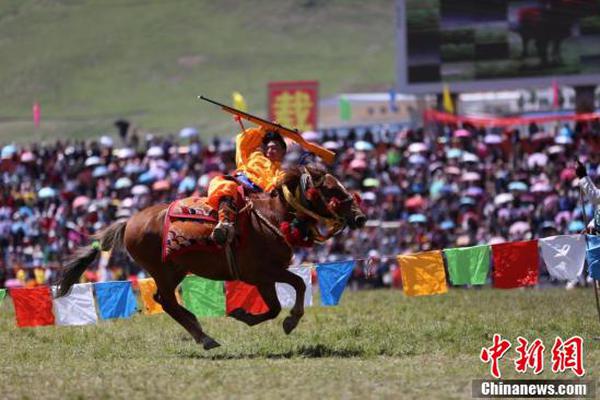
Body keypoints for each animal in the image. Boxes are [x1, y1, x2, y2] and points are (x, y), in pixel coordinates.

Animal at [57, 164, 366, 348]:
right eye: (331, 189)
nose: (360, 217)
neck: (271, 218)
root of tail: (129, 222)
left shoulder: (263, 278)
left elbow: (275, 306)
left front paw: (243, 315)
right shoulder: (262, 272)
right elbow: (299, 285)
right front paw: (290, 321)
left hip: (174, 271)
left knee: (163, 300)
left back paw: (197, 326)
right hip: (163, 271)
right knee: (168, 302)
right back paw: (204, 337)